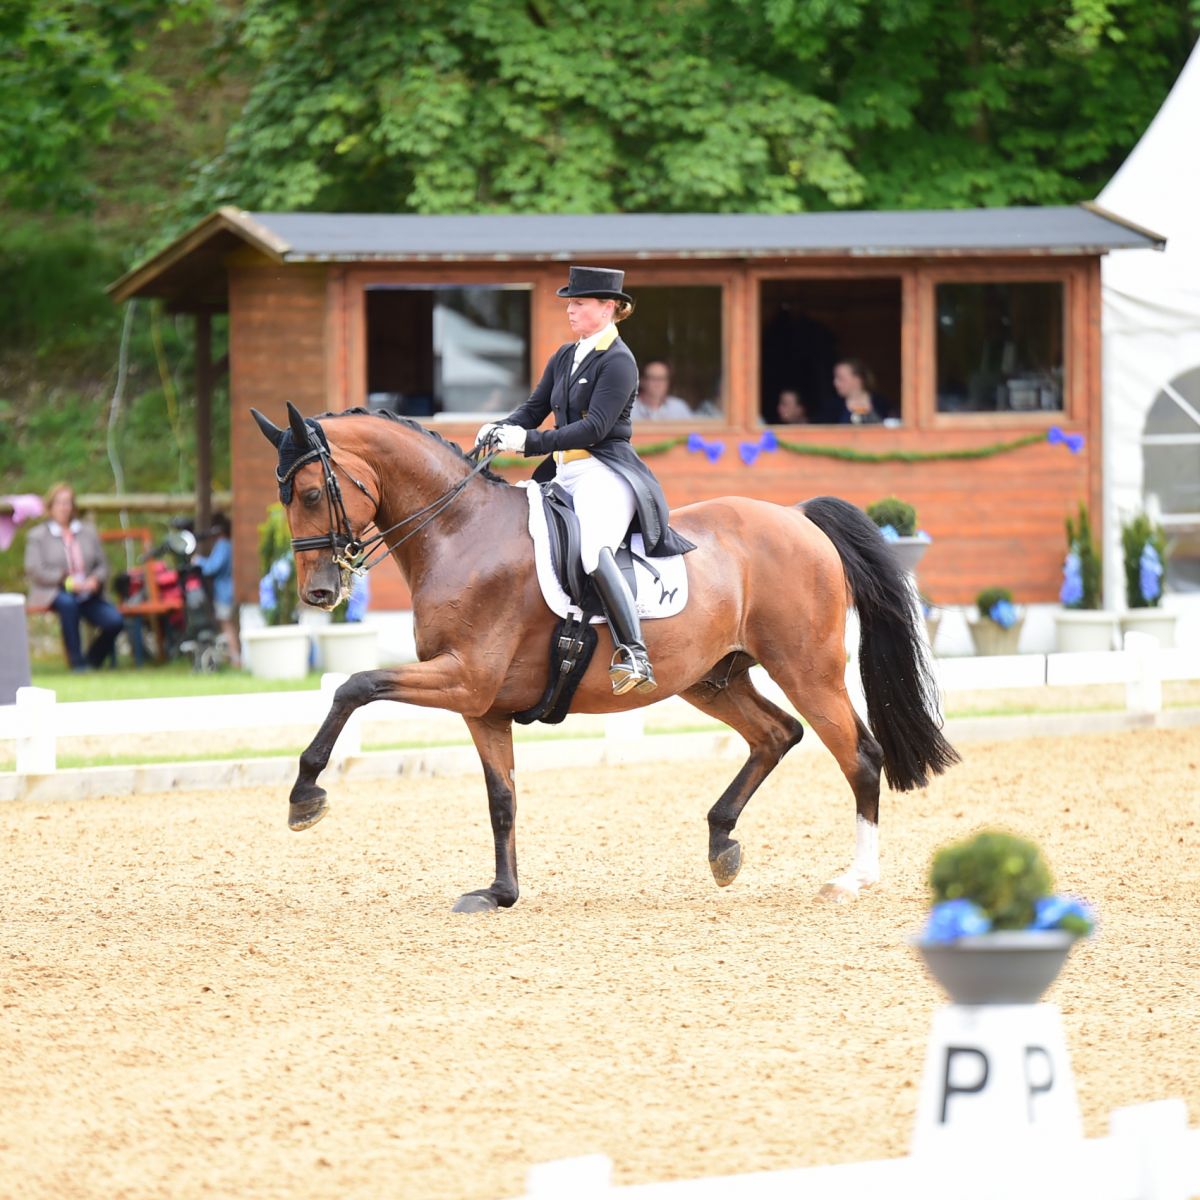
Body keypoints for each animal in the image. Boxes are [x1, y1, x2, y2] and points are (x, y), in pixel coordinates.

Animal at [251, 403, 959, 913]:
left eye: (309, 494)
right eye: (284, 494)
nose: (318, 593)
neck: (460, 535)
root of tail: (798, 517)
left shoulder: (465, 679)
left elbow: (354, 684)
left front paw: (304, 796)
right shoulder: (482, 705)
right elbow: (501, 797)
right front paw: (501, 894)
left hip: (806, 668)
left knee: (857, 754)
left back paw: (853, 879)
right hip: (710, 679)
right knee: (776, 734)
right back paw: (722, 843)